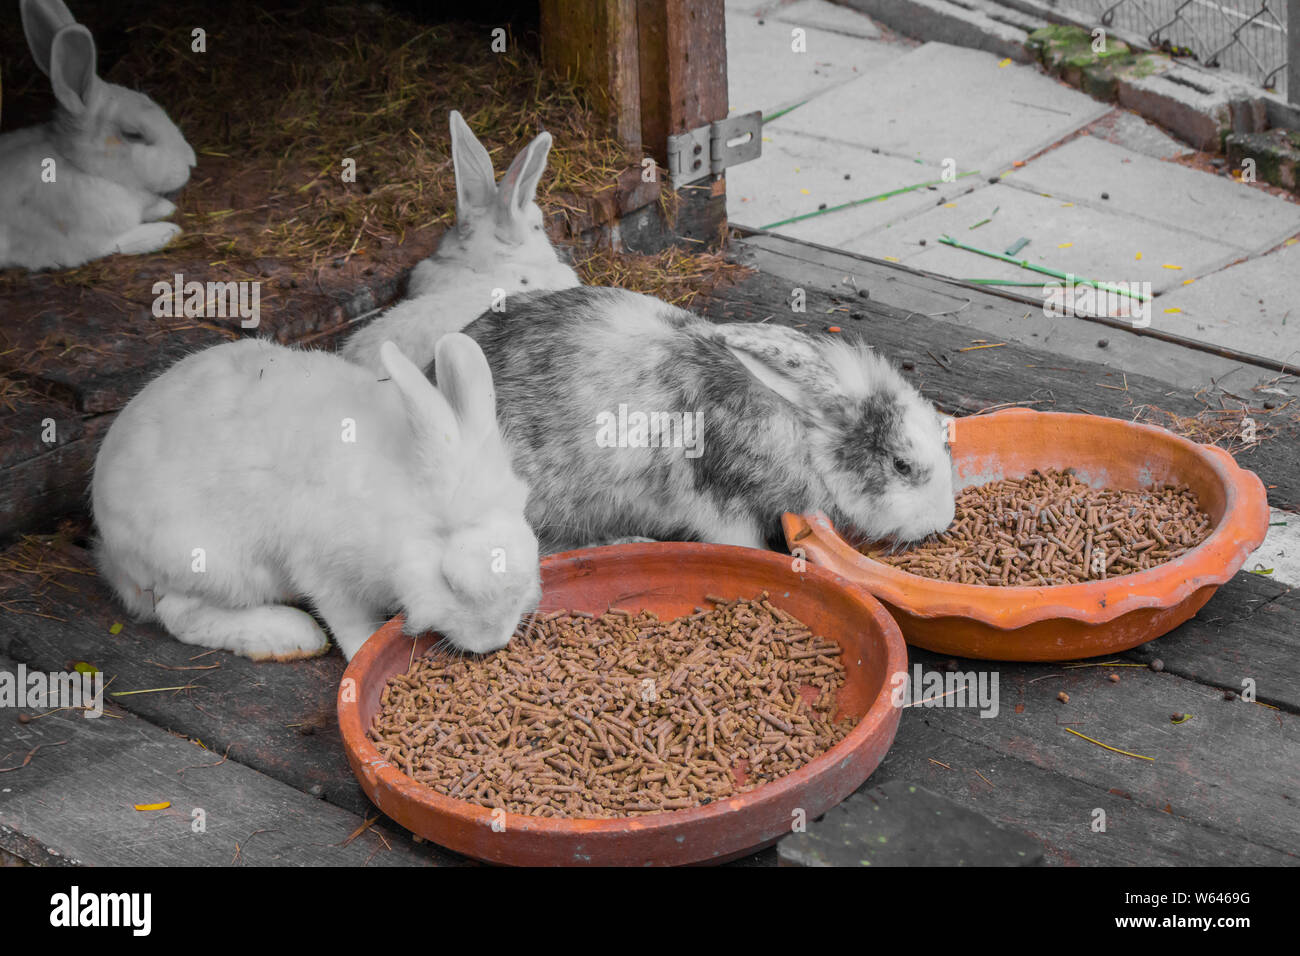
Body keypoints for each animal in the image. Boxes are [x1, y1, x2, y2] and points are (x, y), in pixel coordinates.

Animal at [0, 0, 197, 270]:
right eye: (133, 134)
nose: (191, 162)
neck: (79, 167)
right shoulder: (84, 243)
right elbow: (124, 240)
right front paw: (167, 230)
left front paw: (164, 207)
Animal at [91, 334, 541, 662]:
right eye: (449, 583)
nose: (494, 642)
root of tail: (111, 552)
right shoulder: (325, 571)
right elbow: (352, 625)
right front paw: (360, 654)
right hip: (215, 565)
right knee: (178, 613)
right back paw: (292, 638)